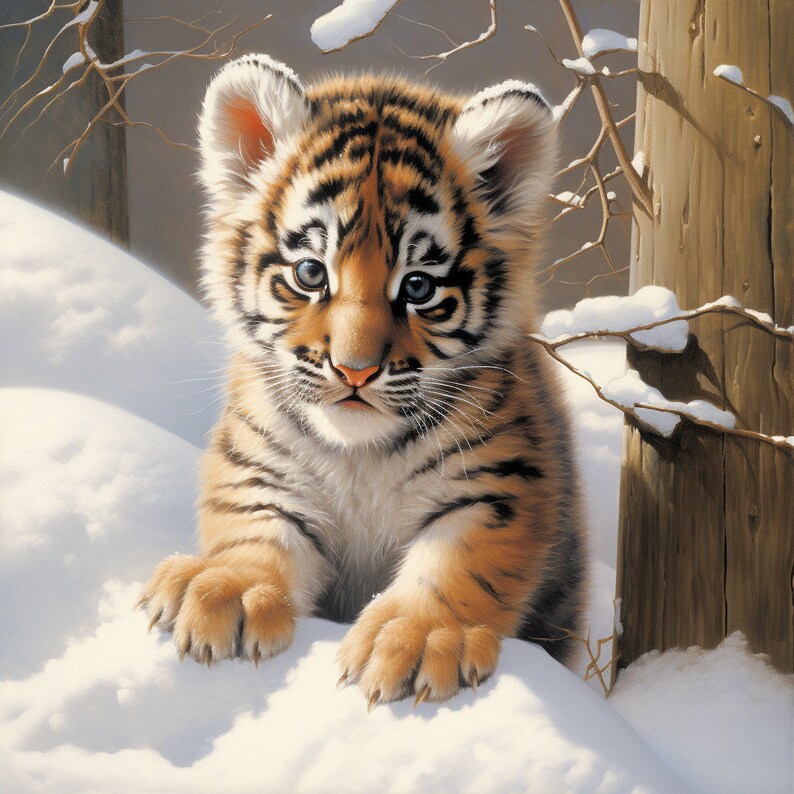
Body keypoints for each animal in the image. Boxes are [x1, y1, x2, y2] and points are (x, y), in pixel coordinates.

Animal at [138, 54, 586, 707]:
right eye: (309, 273)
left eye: (419, 286)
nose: (354, 370)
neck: (360, 456)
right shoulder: (262, 471)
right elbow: (254, 530)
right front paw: (225, 590)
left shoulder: (494, 485)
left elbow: (455, 565)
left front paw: (419, 640)